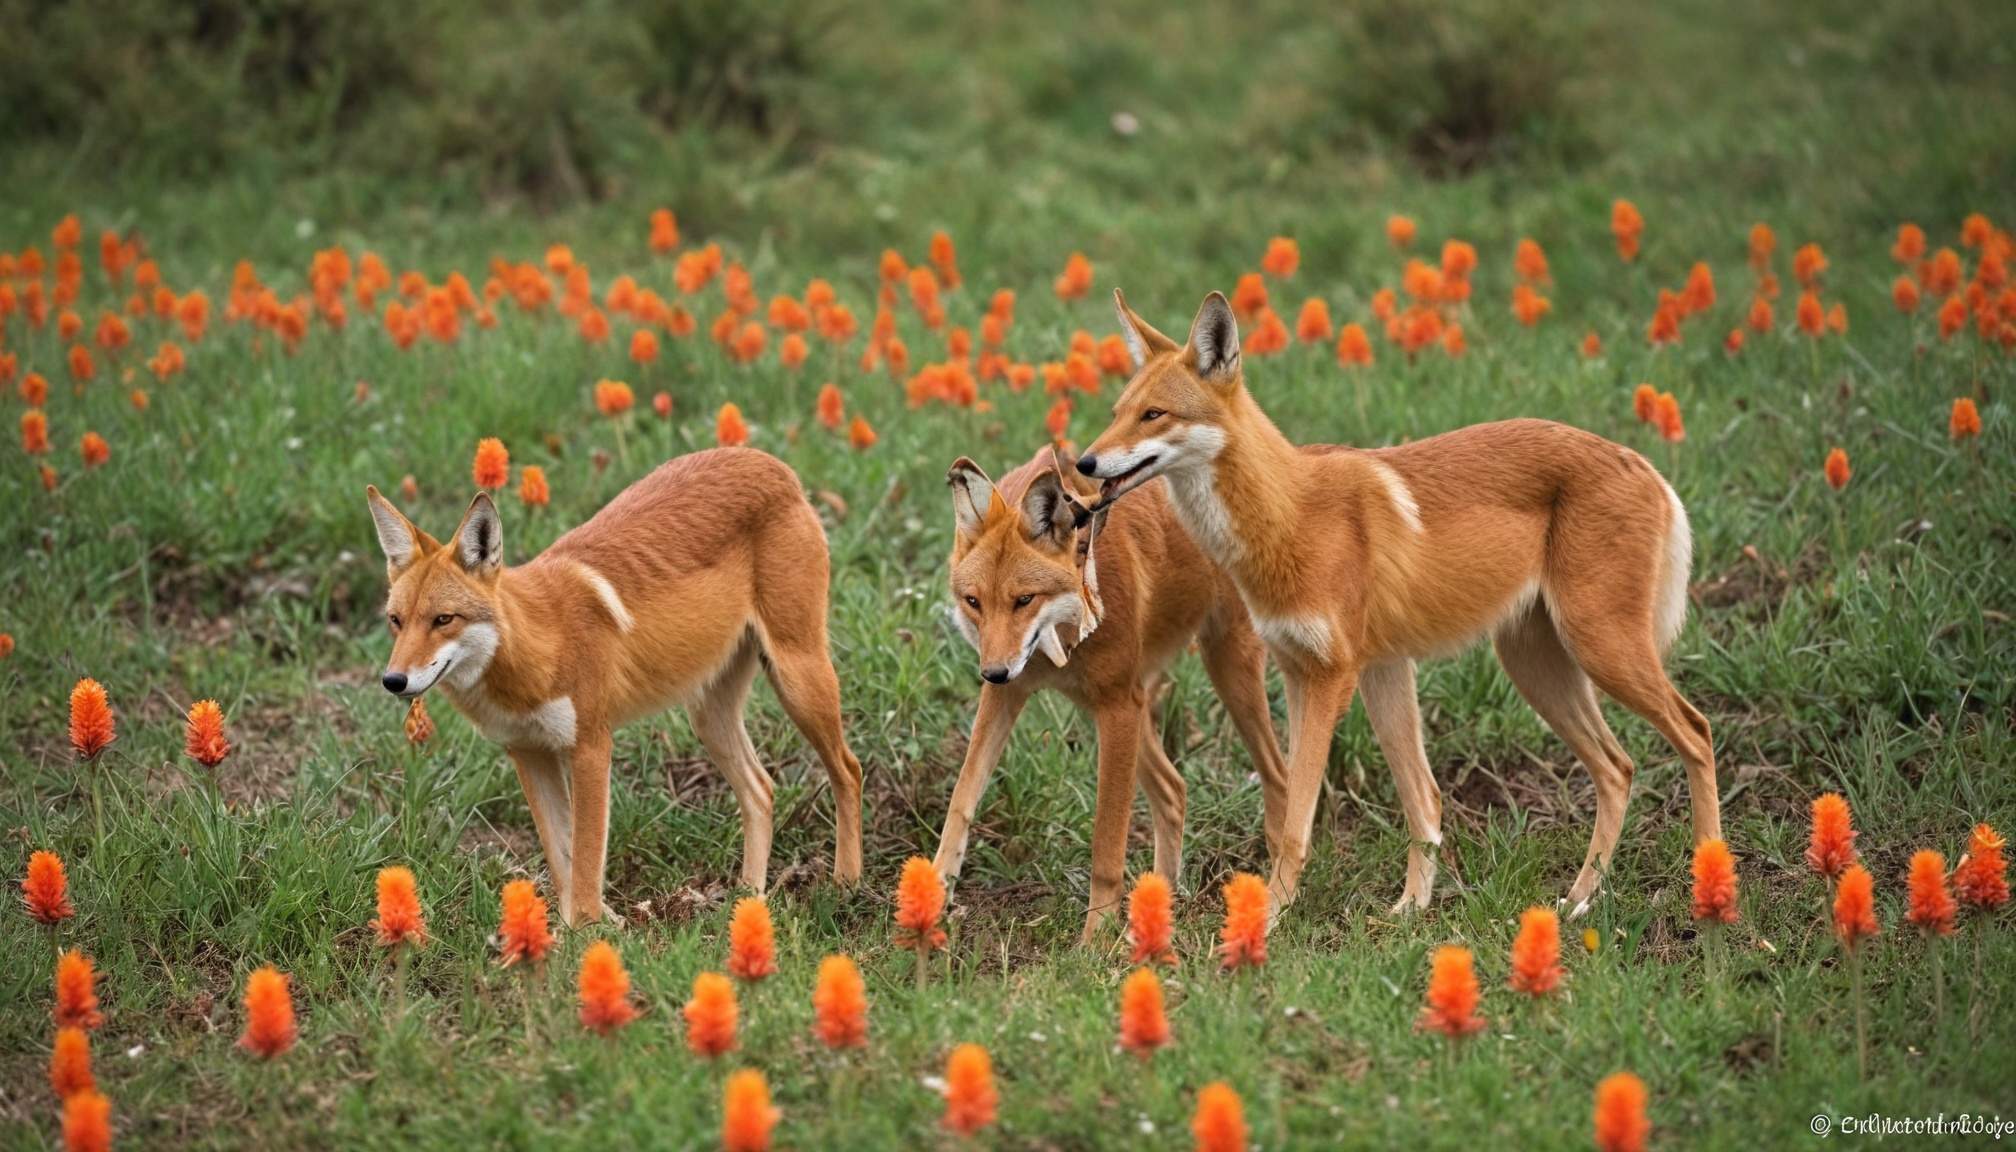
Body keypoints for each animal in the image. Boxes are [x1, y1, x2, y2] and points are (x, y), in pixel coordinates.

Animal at [368, 447, 866, 928]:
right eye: (396, 621)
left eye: (443, 619)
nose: (393, 681)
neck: (534, 655)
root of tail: (773, 463)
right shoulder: (529, 755)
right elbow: (564, 860)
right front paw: (577, 933)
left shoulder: (591, 746)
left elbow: (586, 862)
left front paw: (584, 936)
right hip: (708, 717)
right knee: (762, 790)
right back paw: (748, 902)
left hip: (798, 680)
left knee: (849, 770)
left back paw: (846, 884)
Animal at [1080, 290, 1709, 919]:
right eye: (1115, 412)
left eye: (1154, 415)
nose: (1084, 464)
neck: (1288, 519)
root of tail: (1639, 460)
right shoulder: (1343, 669)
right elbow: (1416, 804)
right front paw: (1411, 910)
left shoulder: (1334, 677)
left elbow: (1297, 819)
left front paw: (1273, 914)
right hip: (1536, 669)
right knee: (1619, 769)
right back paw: (1580, 899)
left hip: (1600, 650)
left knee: (1696, 734)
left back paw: (1708, 881)